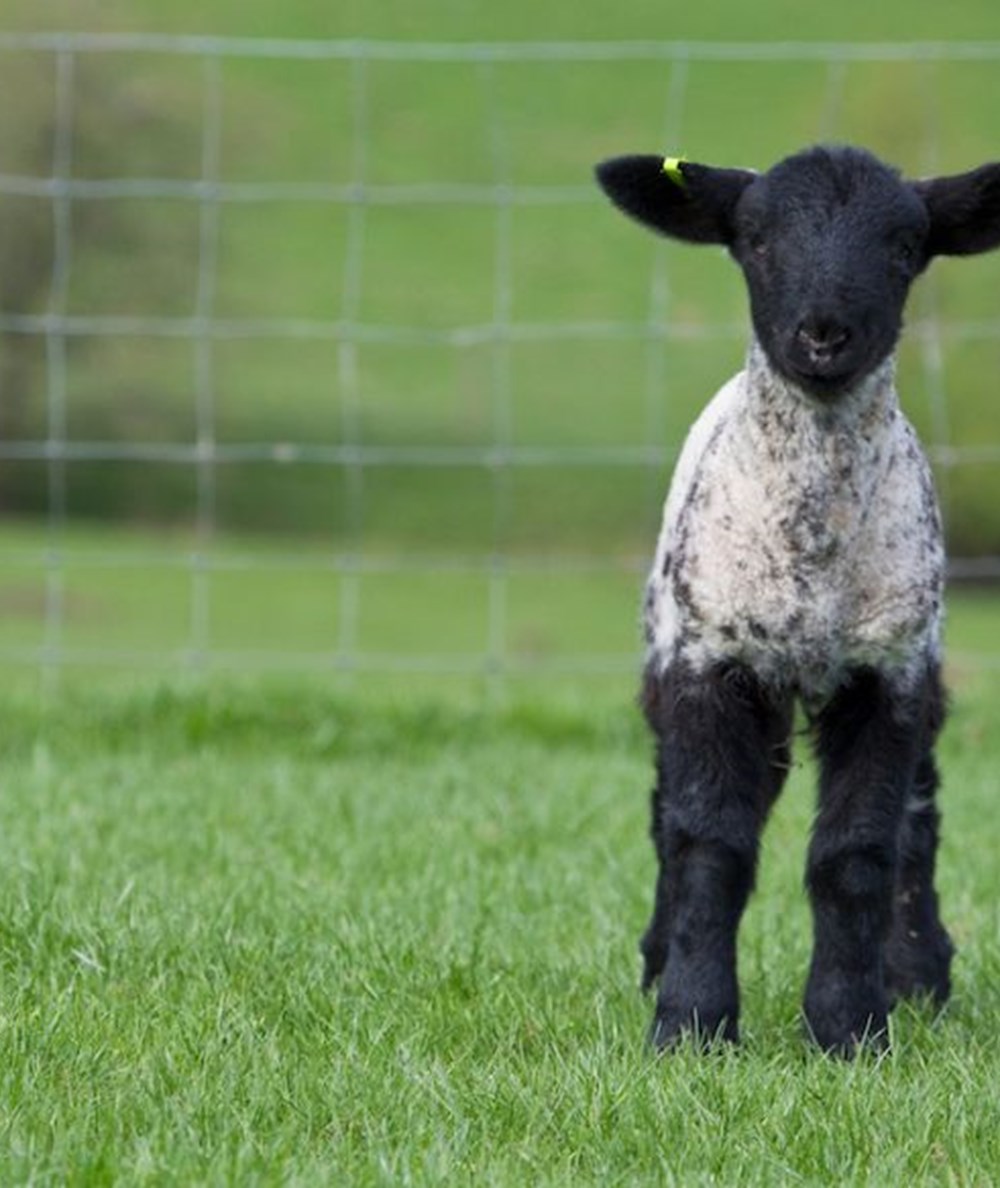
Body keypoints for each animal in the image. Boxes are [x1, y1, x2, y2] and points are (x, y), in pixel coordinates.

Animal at [594, 144, 1000, 1054]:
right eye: (755, 240)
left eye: (904, 247)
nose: (822, 334)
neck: (812, 551)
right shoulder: (710, 664)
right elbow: (709, 840)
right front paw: (692, 1023)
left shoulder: (888, 674)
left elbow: (856, 851)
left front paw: (851, 1029)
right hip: (672, 642)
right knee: (667, 811)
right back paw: (656, 962)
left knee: (918, 813)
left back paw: (918, 975)